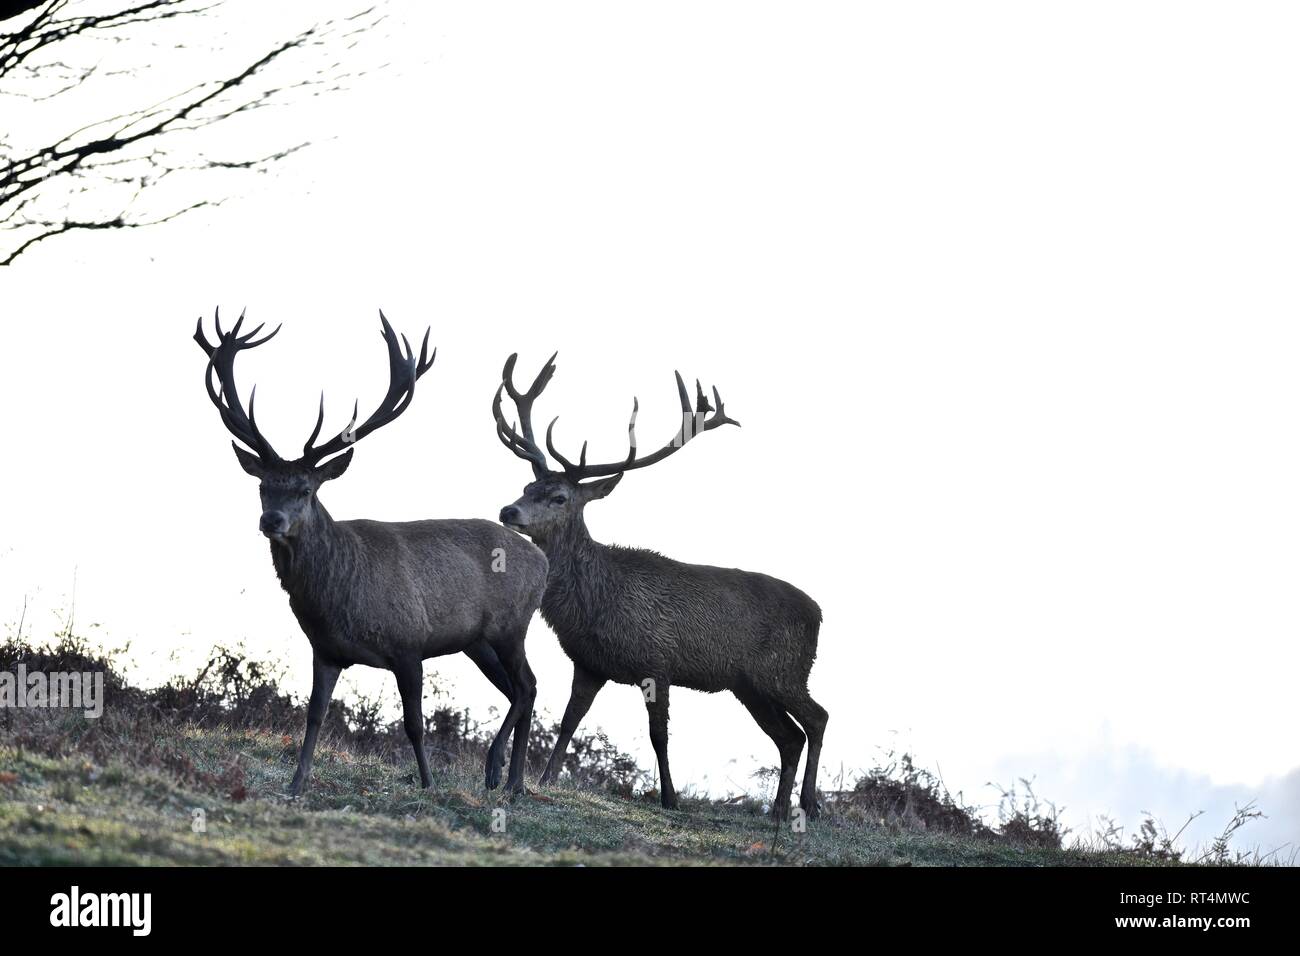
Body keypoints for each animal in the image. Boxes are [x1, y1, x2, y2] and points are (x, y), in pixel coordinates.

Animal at [194, 310, 547, 796]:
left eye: (306, 489)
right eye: (263, 486)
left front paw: (427, 783)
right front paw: (296, 783)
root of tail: (544, 561)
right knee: (519, 690)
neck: (338, 600)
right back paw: (511, 781)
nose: (271, 521)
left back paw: (499, 773)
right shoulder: (325, 650)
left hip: (511, 625)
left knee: (528, 686)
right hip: (477, 642)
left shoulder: (409, 643)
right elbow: (314, 716)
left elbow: (415, 724)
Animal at [492, 354, 827, 820]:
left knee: (817, 718)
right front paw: (545, 778)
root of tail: (819, 613)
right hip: (750, 685)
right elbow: (569, 720)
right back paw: (778, 809)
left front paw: (670, 797)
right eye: (527, 486)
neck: (599, 601)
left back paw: (809, 803)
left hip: (785, 669)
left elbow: (659, 735)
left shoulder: (657, 661)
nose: (509, 510)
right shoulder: (589, 663)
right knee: (790, 736)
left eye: (559, 497)